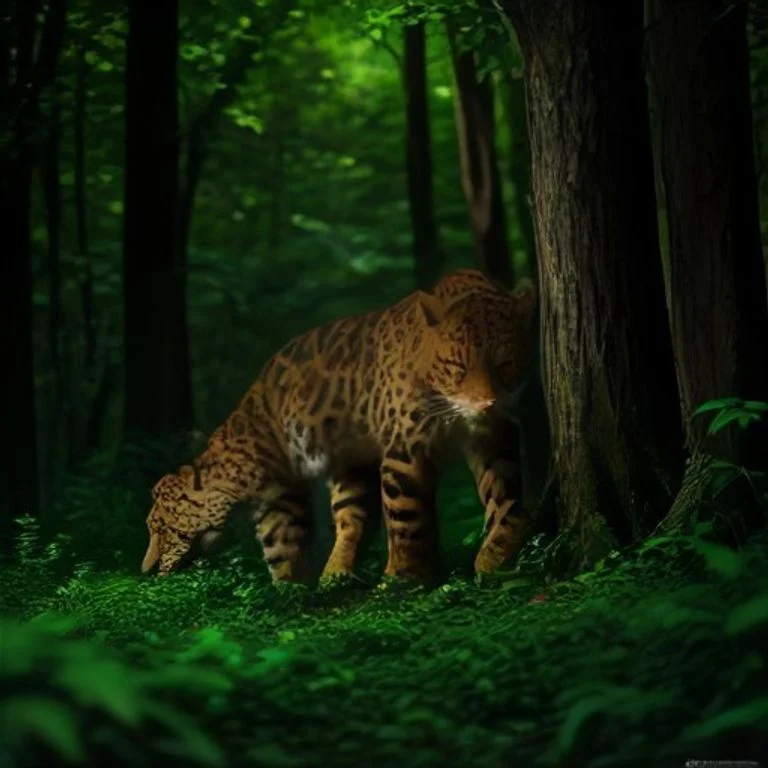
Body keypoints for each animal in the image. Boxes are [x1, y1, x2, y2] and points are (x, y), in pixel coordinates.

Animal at [141, 268, 537, 589]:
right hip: (349, 466)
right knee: (351, 519)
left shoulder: (492, 436)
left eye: (505, 364)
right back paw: (335, 575)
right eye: (458, 367)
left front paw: (495, 555)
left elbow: (500, 497)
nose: (146, 569)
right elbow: (399, 520)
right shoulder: (394, 453)